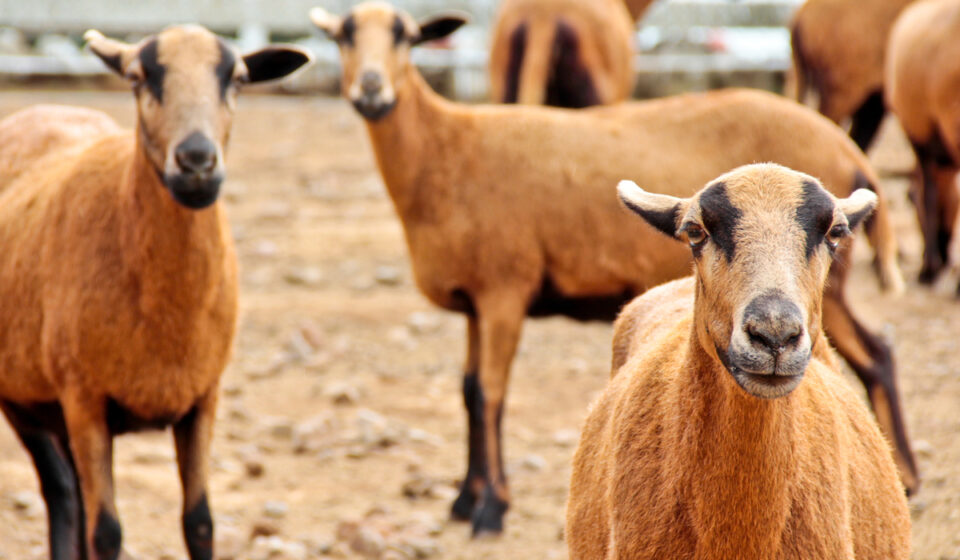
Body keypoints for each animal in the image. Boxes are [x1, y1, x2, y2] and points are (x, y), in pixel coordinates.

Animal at [0, 26, 309, 560]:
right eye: (136, 77)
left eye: (238, 78)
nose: (196, 161)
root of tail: (40, 109)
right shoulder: (84, 397)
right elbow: (106, 531)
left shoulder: (203, 395)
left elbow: (200, 522)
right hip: (27, 394)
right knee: (62, 494)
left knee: (71, 494)